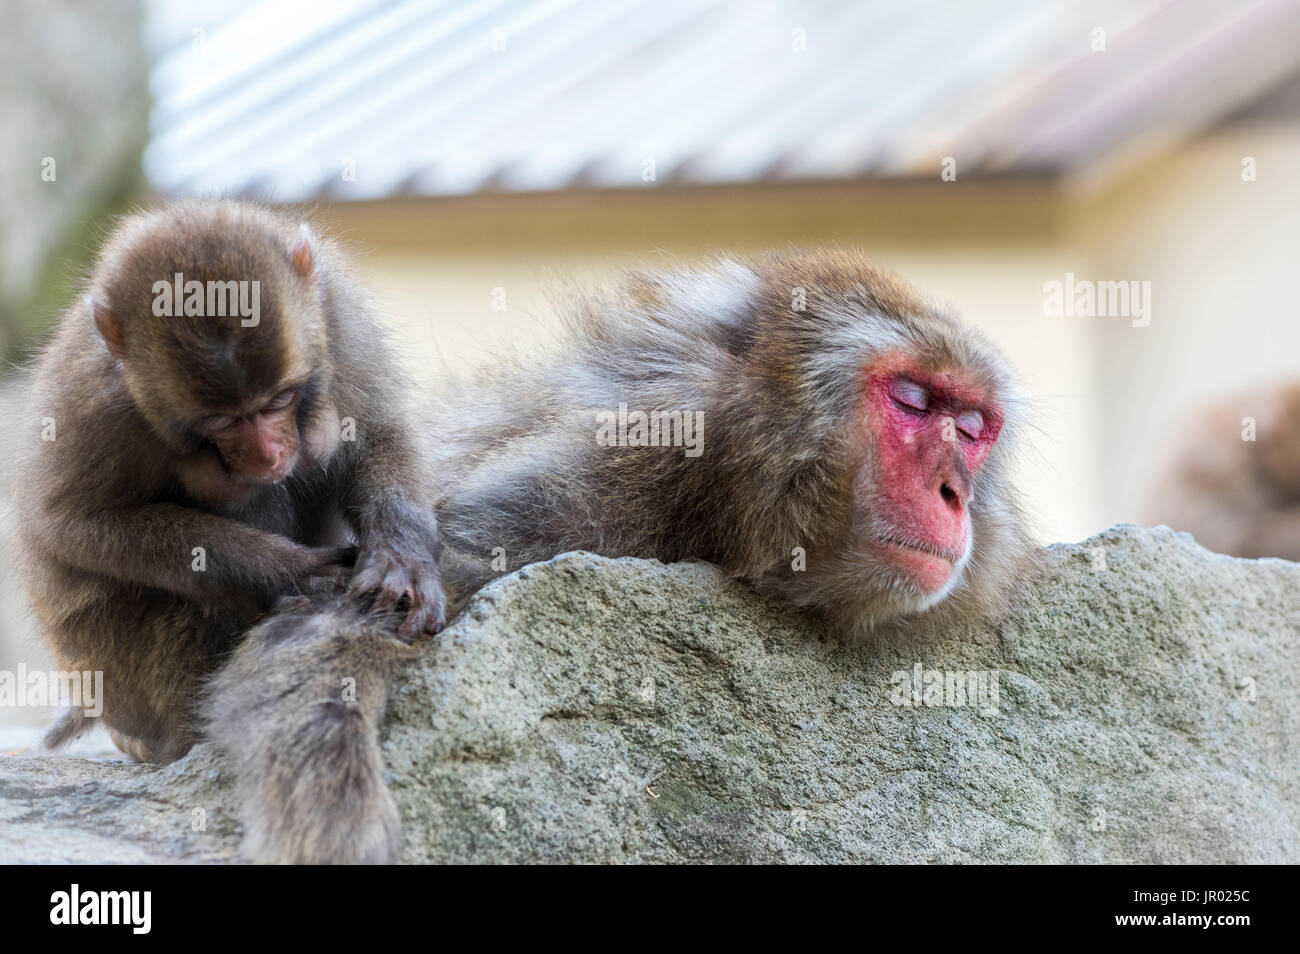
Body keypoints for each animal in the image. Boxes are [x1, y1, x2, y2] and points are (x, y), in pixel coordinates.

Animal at [14, 199, 446, 767]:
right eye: (220, 421)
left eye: (280, 399)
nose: (268, 454)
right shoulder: (94, 401)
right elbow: (74, 525)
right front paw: (289, 573)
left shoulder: (338, 314)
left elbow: (376, 431)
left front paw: (402, 557)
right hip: (124, 676)